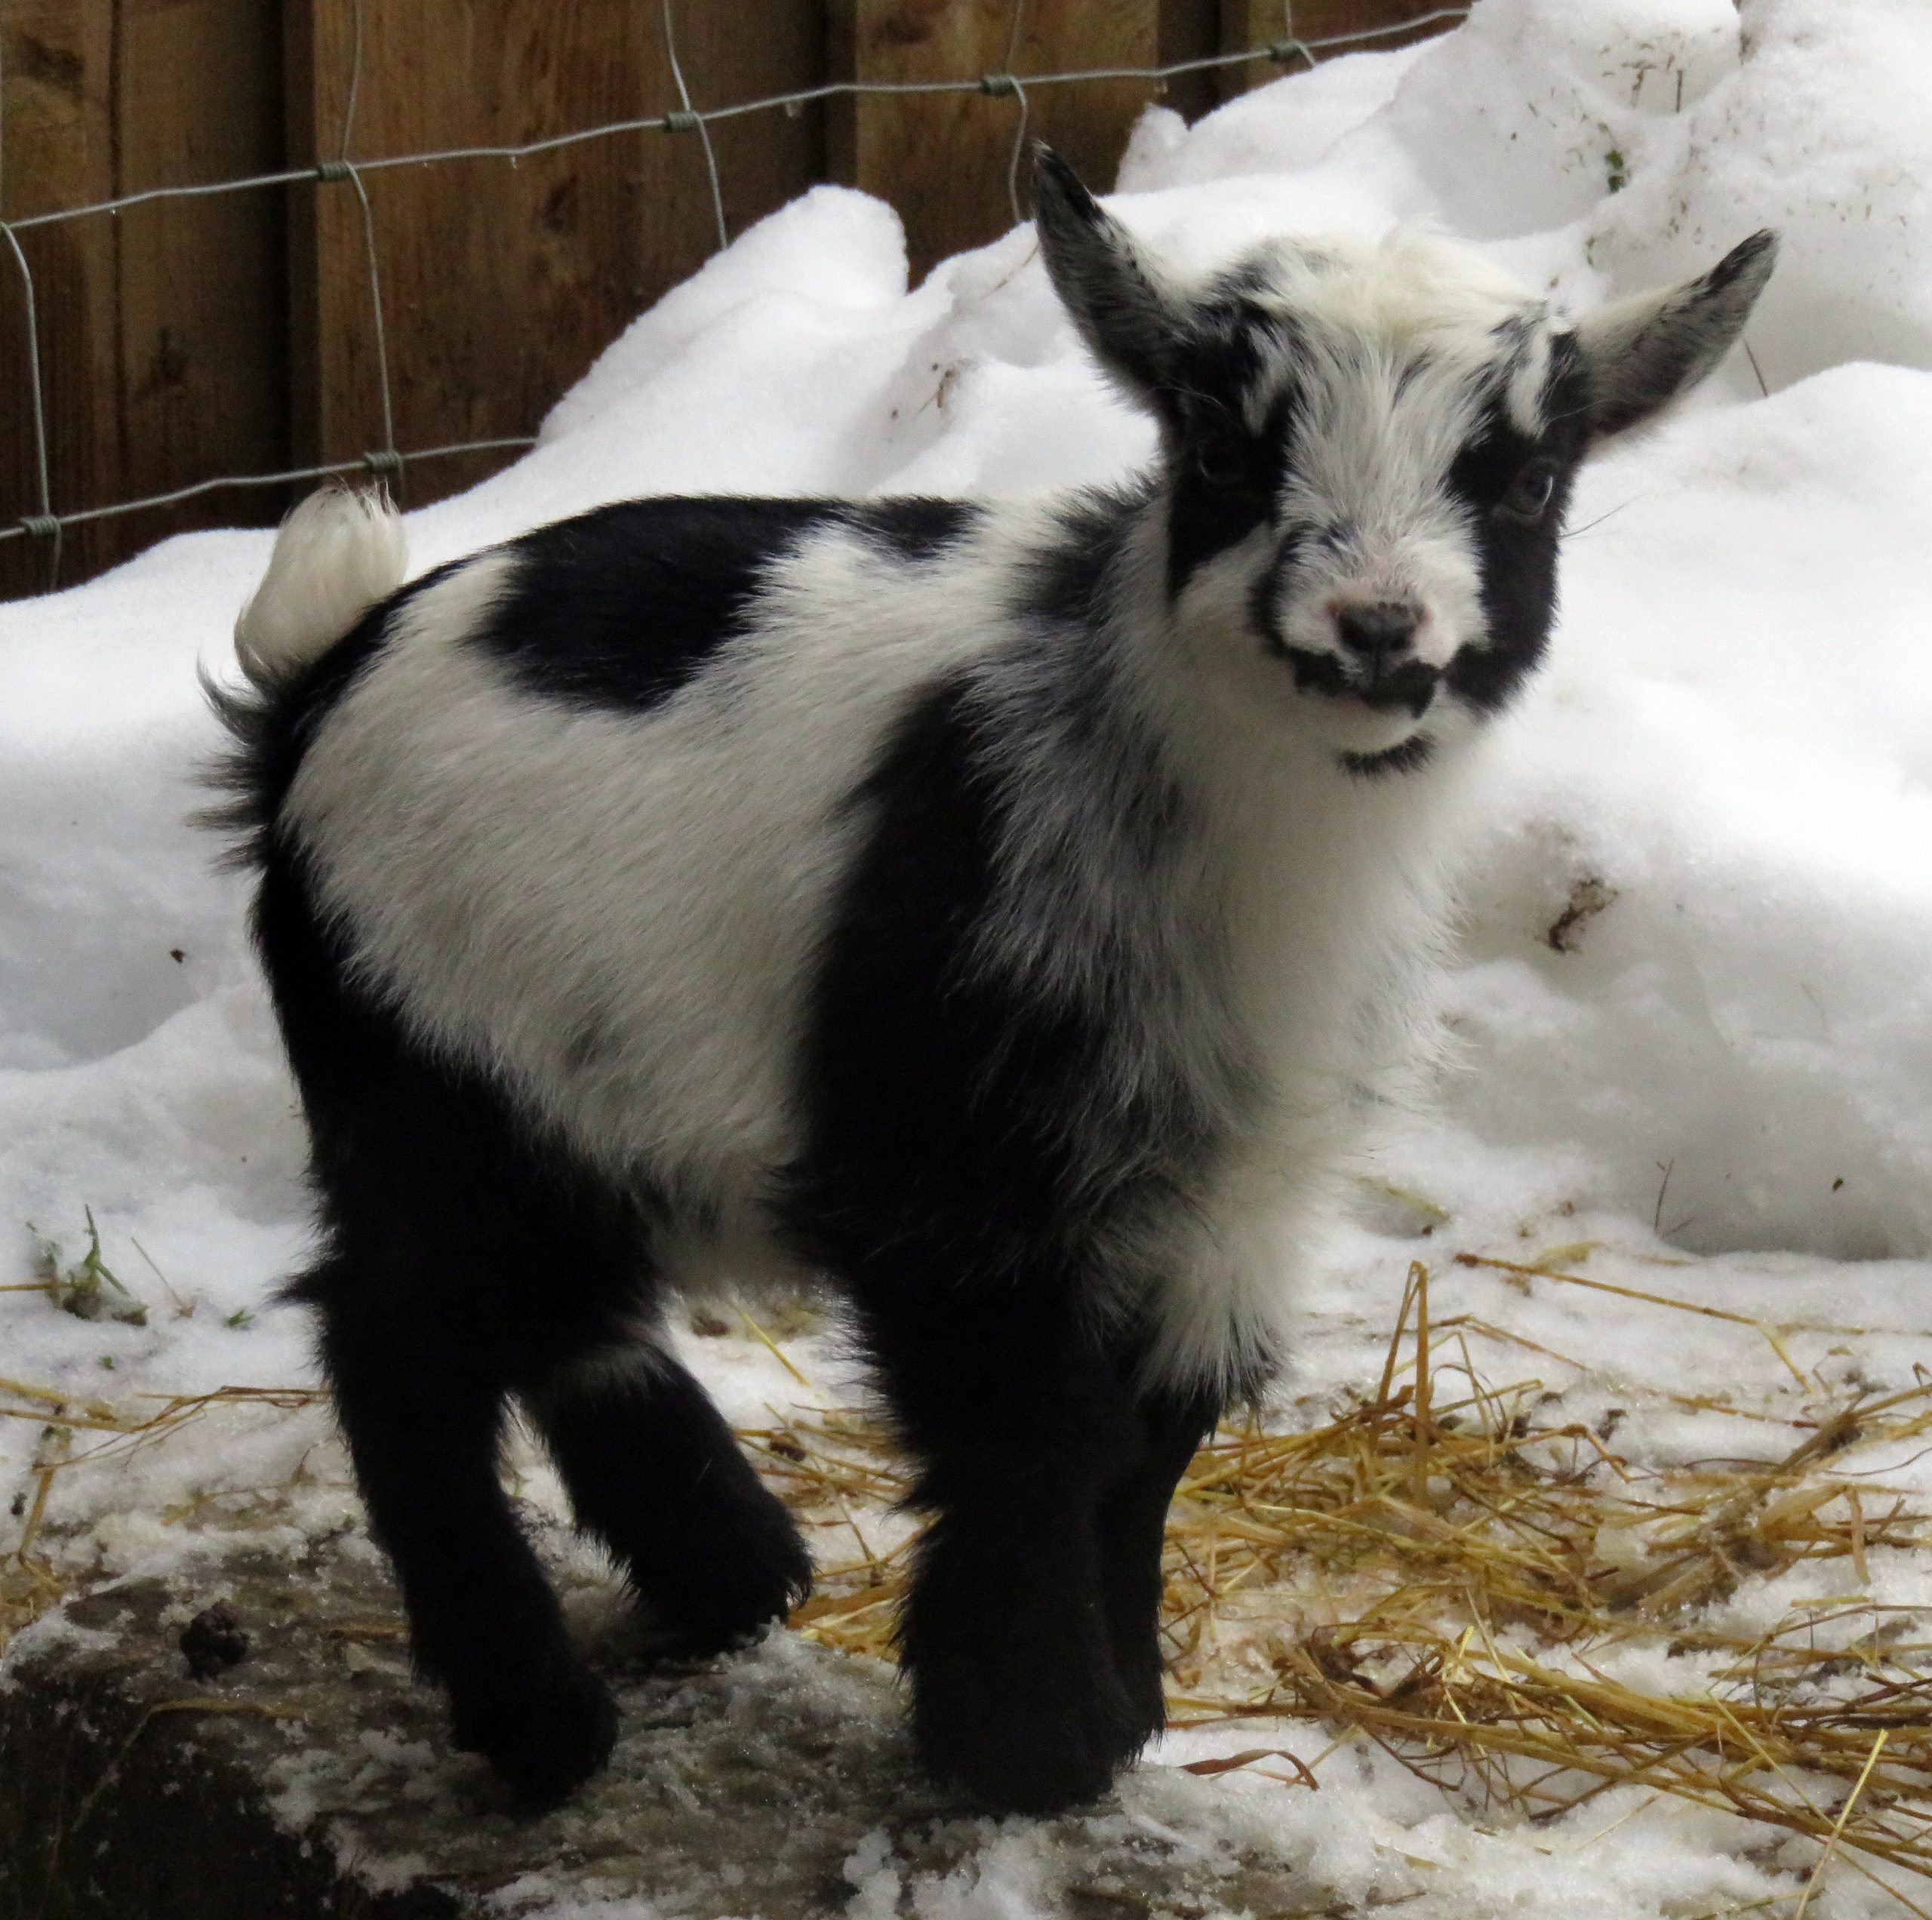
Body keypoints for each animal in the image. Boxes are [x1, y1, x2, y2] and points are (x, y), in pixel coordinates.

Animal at [209, 147, 1776, 1815]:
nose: (1372, 630)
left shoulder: (1241, 1177)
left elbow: (1149, 1435)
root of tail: (314, 683)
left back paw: (727, 1572)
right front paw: (1030, 1736)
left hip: (552, 1081)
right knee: (396, 1340)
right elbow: (1023, 1427)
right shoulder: (953, 1151)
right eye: (1221, 447)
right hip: (421, 1058)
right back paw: (541, 1719)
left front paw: (1124, 1703)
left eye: (1528, 480)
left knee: (562, 1311)